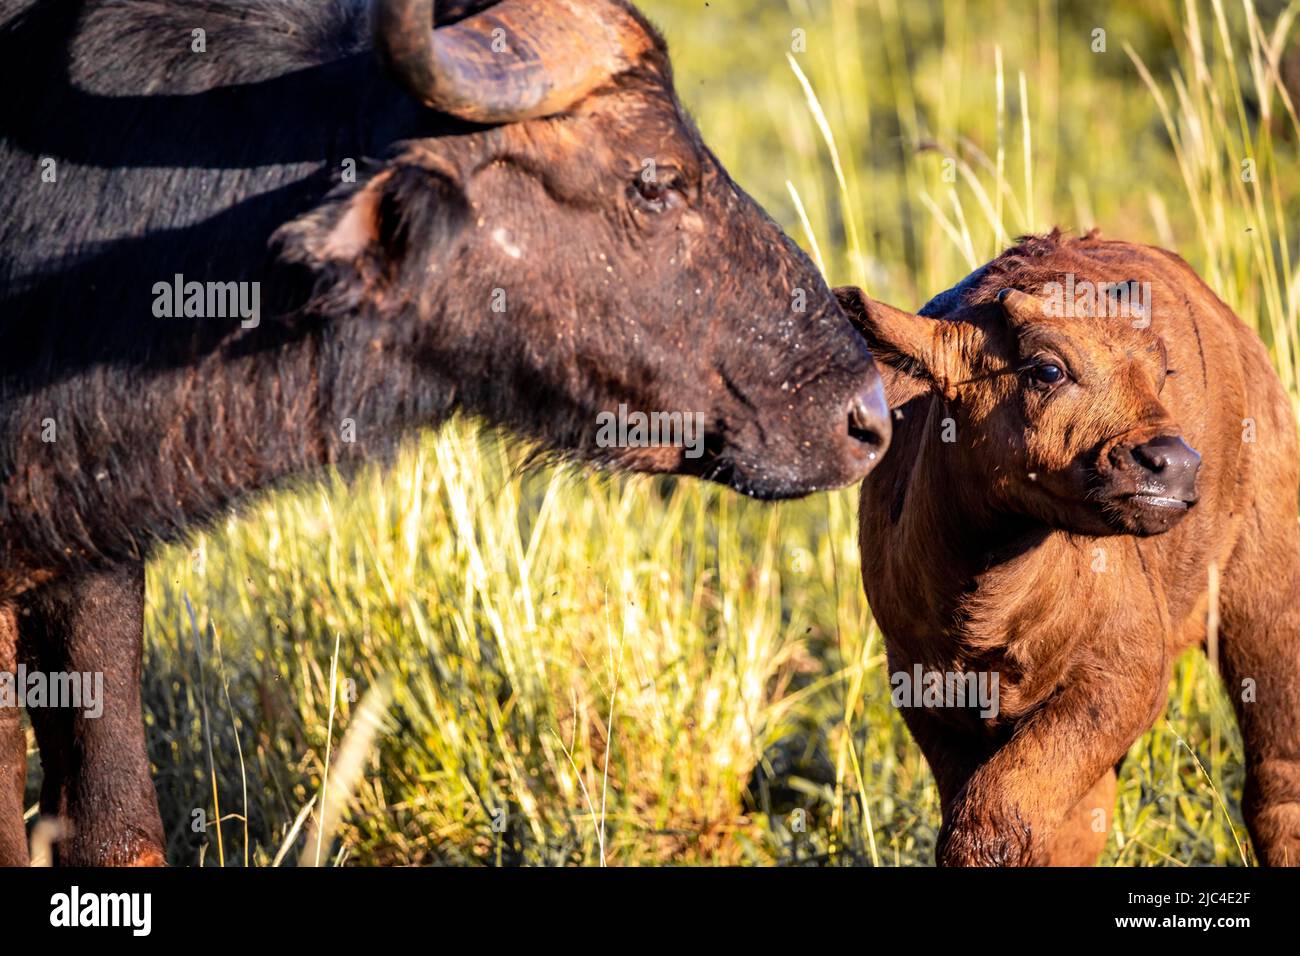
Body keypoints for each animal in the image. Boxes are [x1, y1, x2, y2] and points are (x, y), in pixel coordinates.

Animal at [840, 230, 1300, 866]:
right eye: (1047, 369)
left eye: (1161, 371)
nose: (1175, 463)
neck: (988, 598)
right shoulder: (925, 694)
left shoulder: (1126, 676)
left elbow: (993, 819)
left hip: (1267, 589)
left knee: (1277, 778)